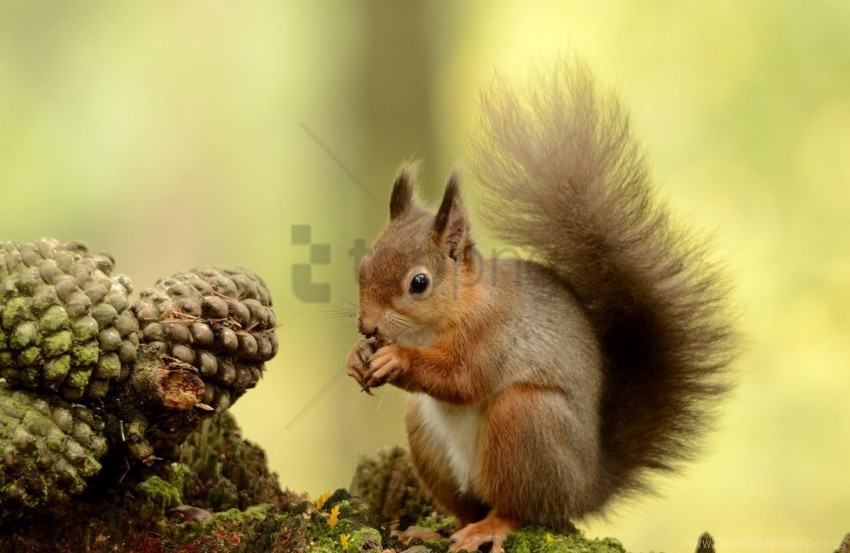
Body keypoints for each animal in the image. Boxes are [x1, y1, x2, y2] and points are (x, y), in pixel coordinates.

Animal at [345, 58, 735, 552]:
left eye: (419, 283)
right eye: (363, 266)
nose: (366, 327)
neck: (445, 316)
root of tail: (586, 487)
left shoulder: (493, 333)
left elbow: (463, 378)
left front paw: (396, 358)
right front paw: (356, 357)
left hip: (526, 420)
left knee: (521, 509)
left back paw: (488, 529)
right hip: (428, 435)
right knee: (467, 504)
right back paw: (435, 528)